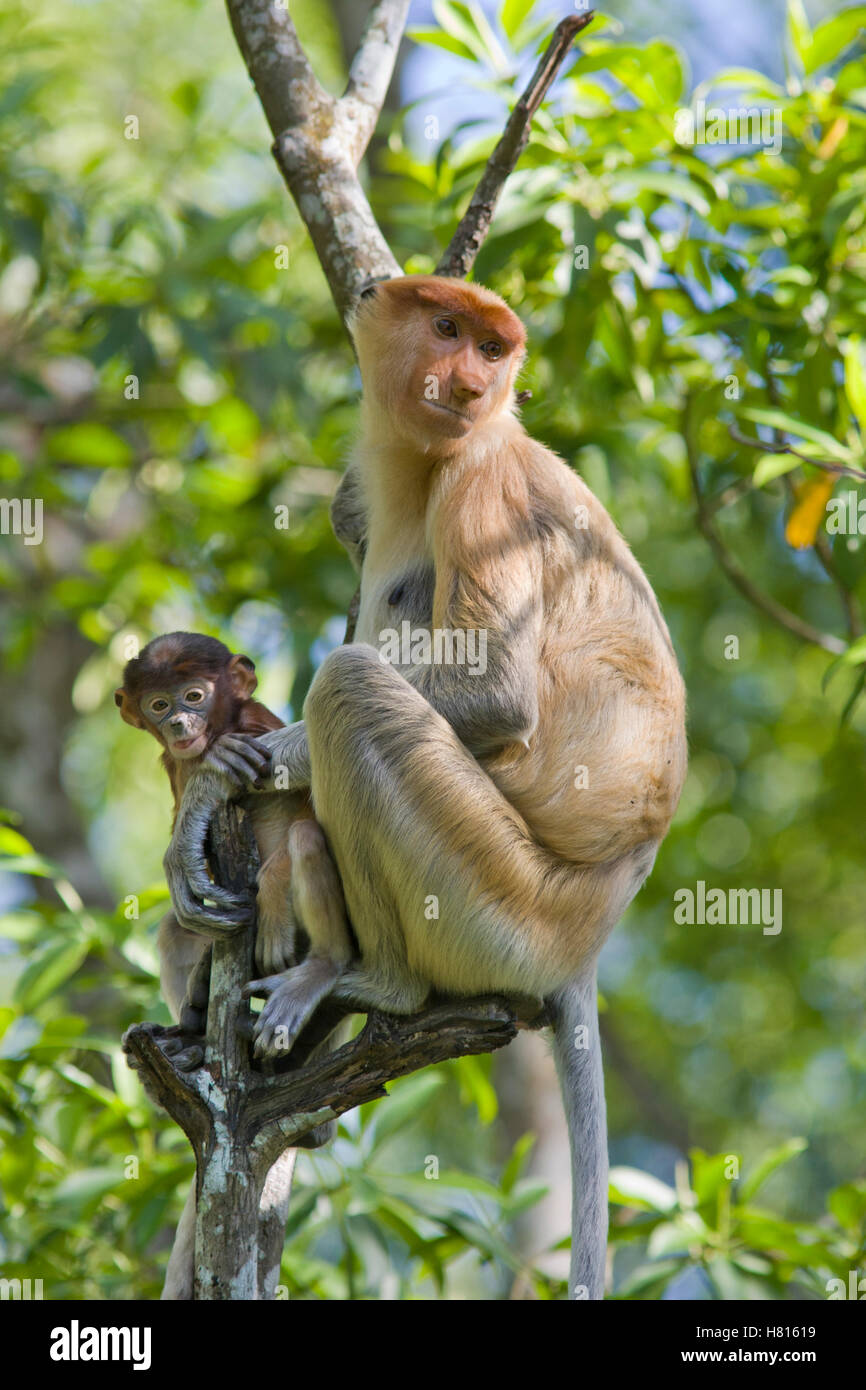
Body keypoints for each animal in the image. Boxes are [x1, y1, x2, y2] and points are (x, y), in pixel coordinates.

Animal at [165, 276, 687, 1300]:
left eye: (494, 346)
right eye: (447, 328)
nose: (474, 385)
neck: (427, 462)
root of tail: (588, 940)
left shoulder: (486, 488)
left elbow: (493, 695)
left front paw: (212, 787)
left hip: (502, 902)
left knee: (352, 690)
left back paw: (366, 980)